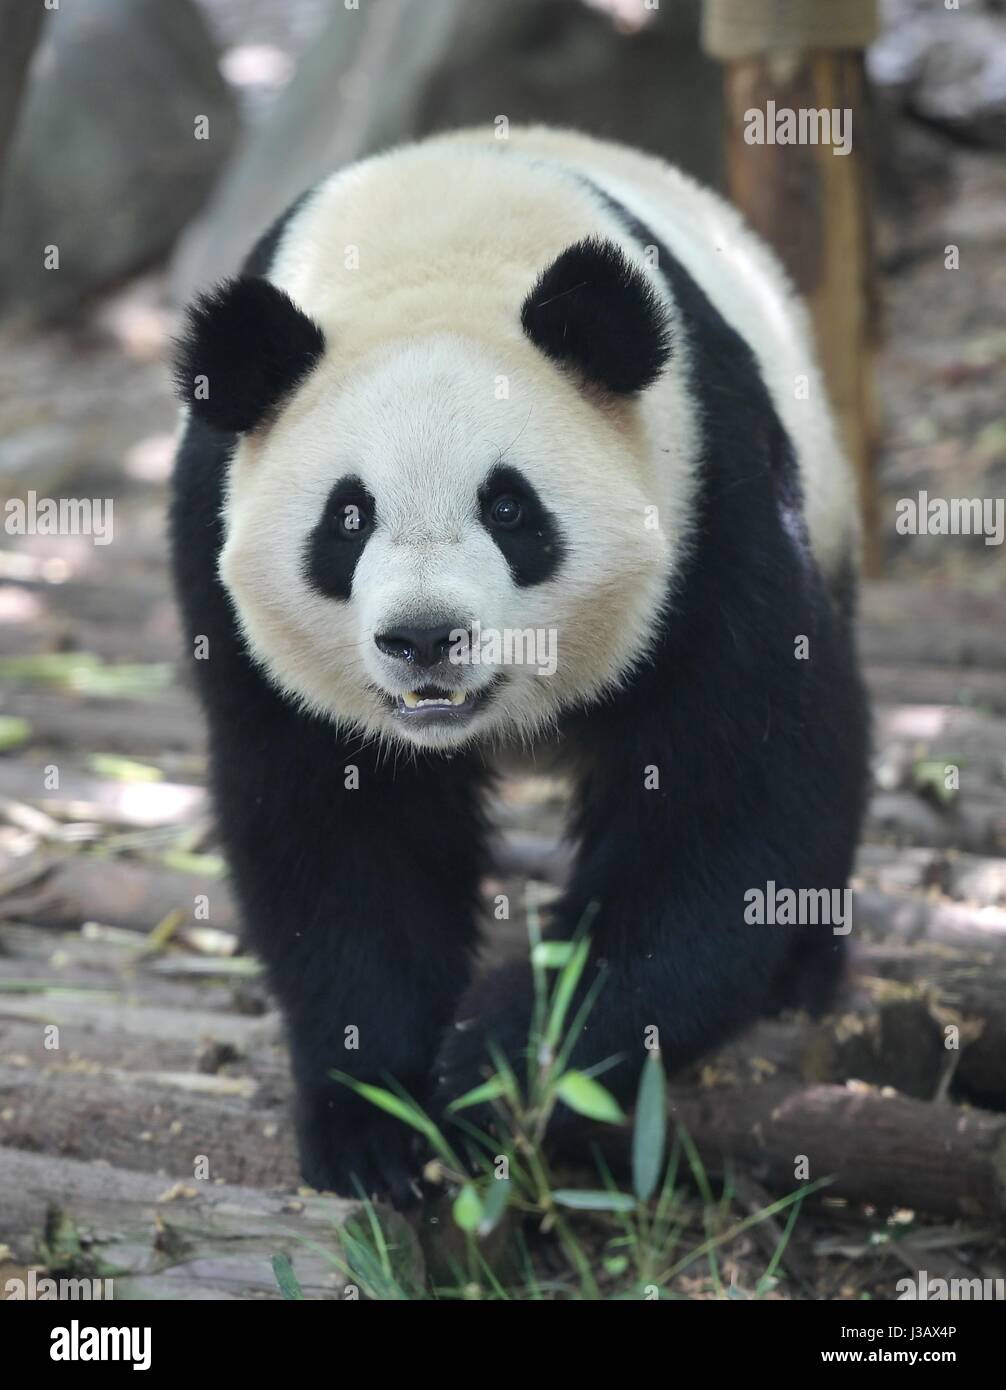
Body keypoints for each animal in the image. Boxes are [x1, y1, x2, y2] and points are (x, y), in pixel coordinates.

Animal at [170, 125, 870, 1200]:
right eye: (347, 518)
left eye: (509, 508)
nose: (424, 637)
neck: (436, 248)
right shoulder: (216, 520)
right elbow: (331, 825)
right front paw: (375, 1121)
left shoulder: (712, 492)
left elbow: (733, 800)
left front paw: (495, 1067)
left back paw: (806, 971)